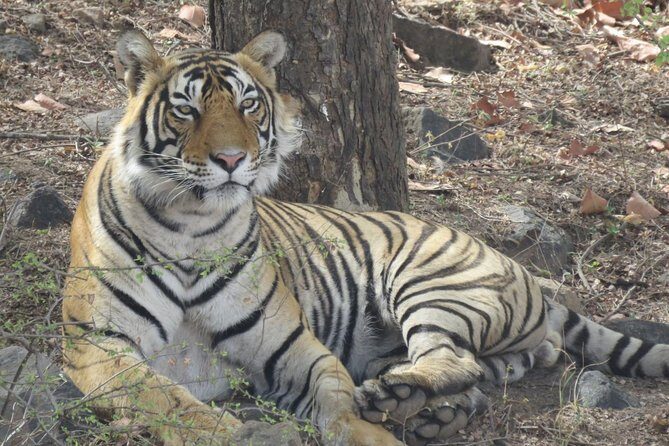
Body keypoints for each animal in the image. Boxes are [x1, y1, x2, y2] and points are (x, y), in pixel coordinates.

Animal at [62, 29, 669, 446]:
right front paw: (226, 430)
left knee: (457, 359)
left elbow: (335, 395)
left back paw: (400, 399)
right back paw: (424, 409)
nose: (232, 160)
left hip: (433, 286)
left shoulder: (291, 344)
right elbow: (169, 399)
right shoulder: (98, 348)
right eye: (186, 110)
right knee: (488, 368)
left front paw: (365, 430)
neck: (194, 225)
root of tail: (517, 267)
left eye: (248, 105)